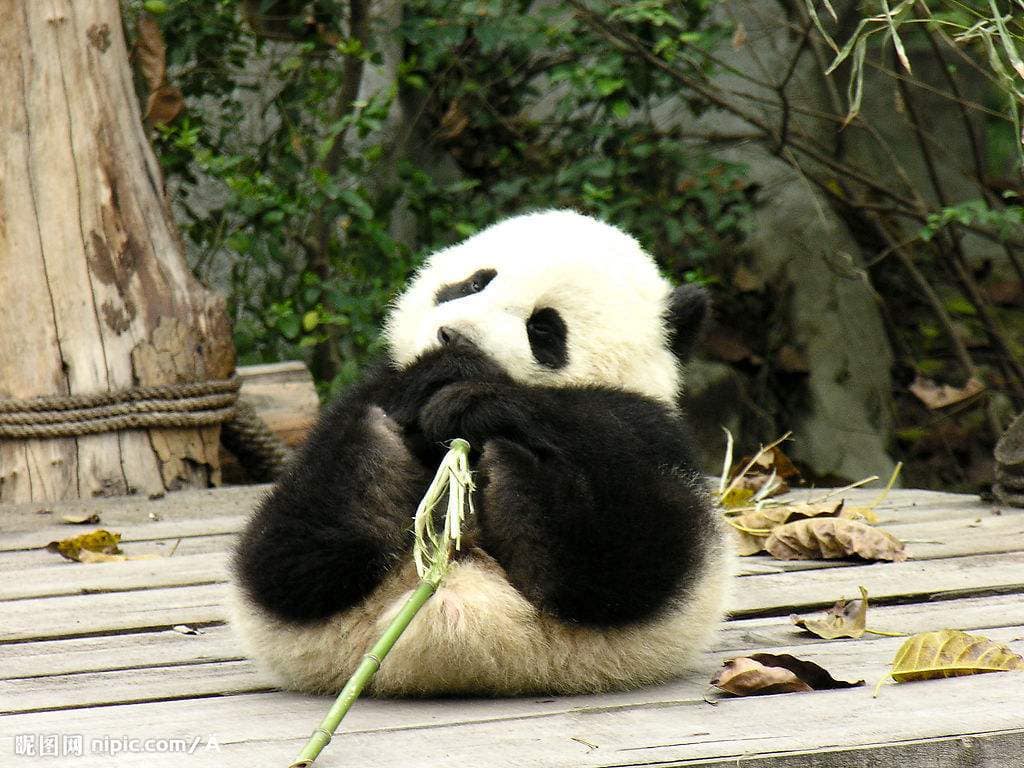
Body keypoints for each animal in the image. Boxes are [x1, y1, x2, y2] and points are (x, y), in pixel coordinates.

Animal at [228, 209, 731, 696]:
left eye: (543, 328)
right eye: (475, 282)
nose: (453, 335)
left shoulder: (648, 431)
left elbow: (634, 553)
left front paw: (481, 403)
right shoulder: (361, 393)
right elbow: (283, 559)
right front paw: (438, 375)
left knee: (625, 551)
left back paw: (516, 480)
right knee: (299, 542)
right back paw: (381, 457)